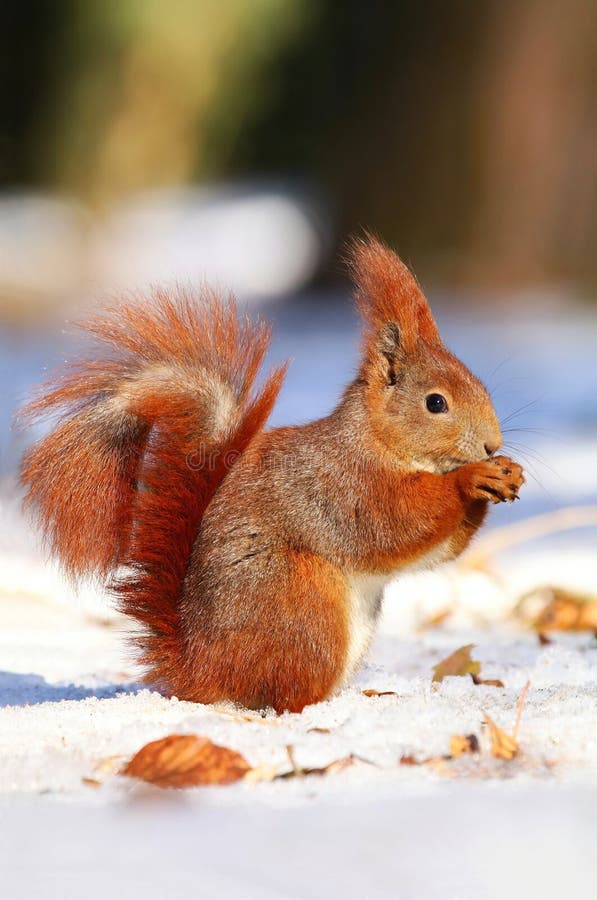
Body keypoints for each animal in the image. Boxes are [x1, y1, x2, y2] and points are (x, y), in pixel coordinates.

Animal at [20, 235, 524, 713]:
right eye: (435, 403)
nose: (492, 444)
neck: (378, 442)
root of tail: (201, 666)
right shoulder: (341, 483)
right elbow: (393, 522)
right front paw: (470, 479)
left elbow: (436, 550)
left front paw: (506, 473)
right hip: (299, 598)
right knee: (285, 693)